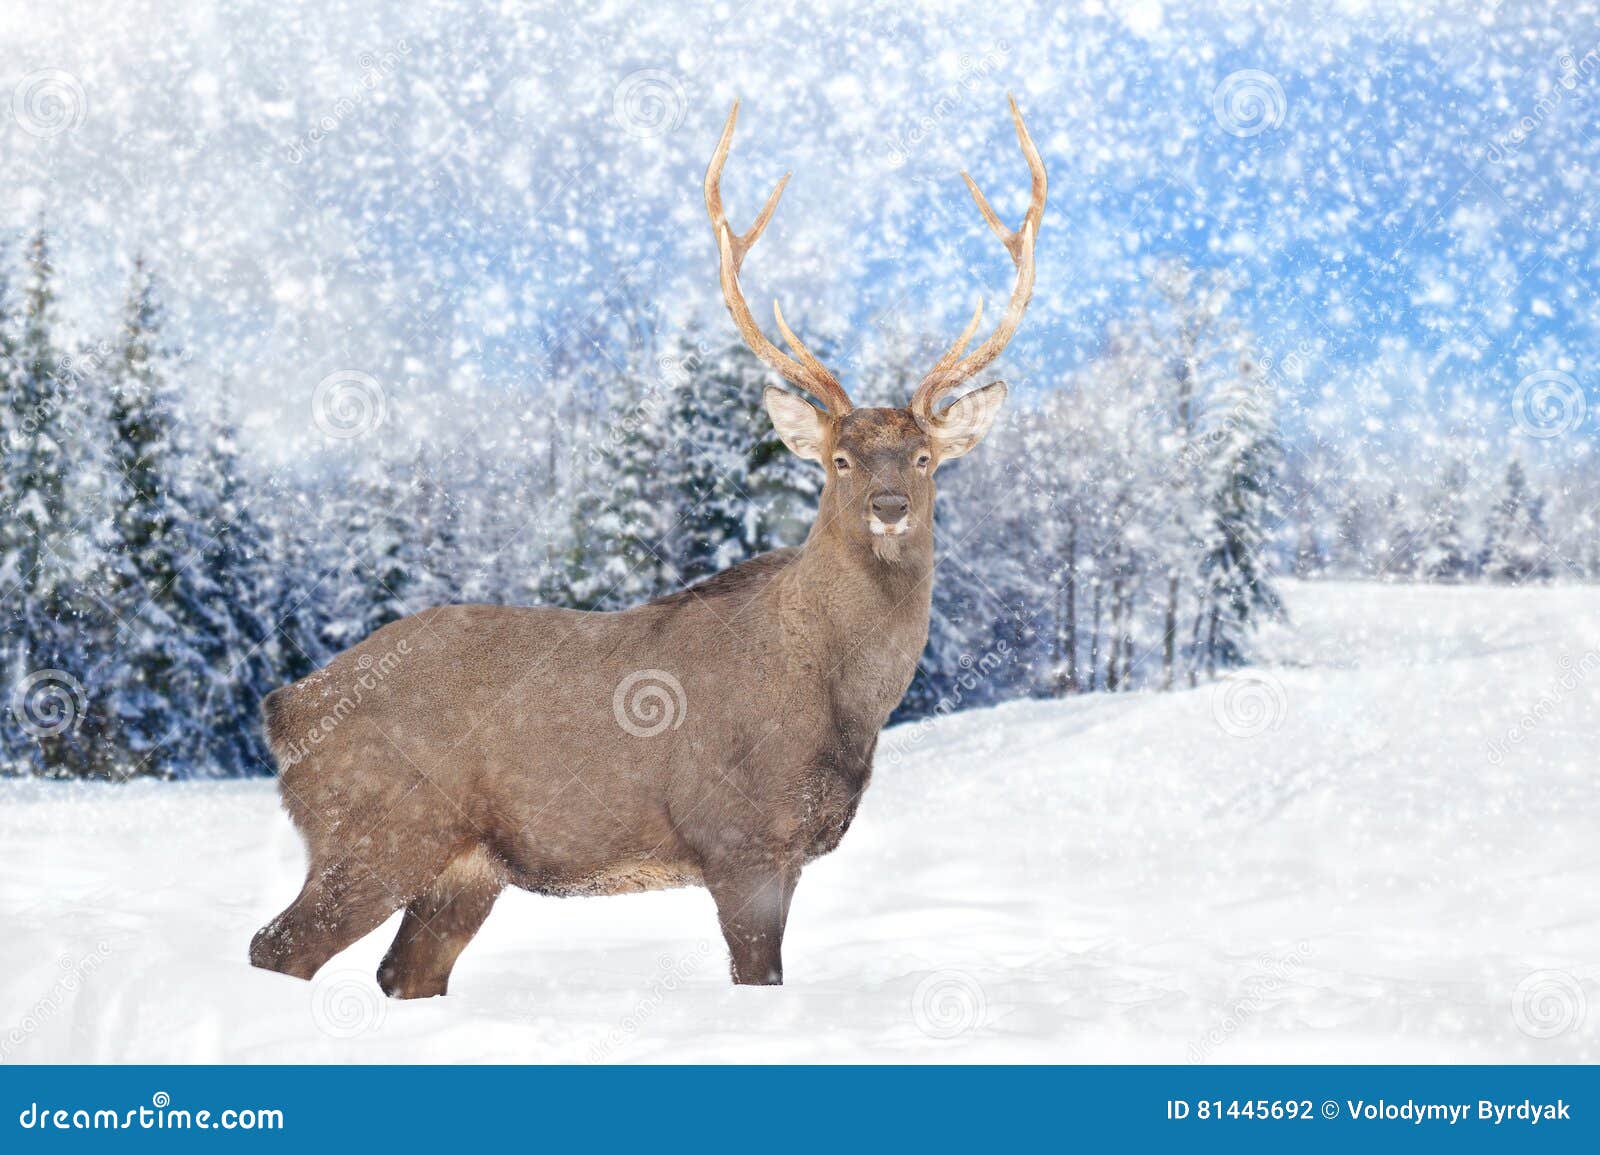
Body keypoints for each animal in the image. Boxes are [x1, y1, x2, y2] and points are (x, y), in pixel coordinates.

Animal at [250, 96, 1046, 996]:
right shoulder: (737, 835)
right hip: (376, 827)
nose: (888, 506)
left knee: (400, 972)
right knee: (277, 948)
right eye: (839, 458)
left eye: (923, 457)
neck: (838, 698)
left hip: (465, 867)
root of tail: (289, 710)